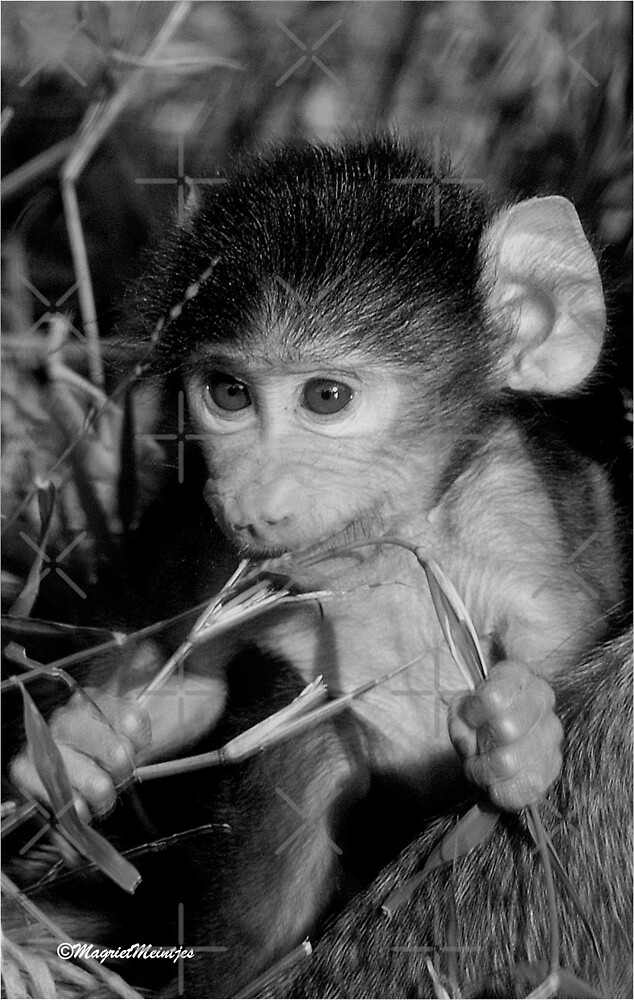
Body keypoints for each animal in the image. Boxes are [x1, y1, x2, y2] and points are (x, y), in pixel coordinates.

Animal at [8, 137, 625, 996]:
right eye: (229, 392)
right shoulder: (217, 548)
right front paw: (83, 745)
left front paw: (521, 733)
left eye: (326, 397)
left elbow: (563, 644)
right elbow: (190, 678)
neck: (382, 541)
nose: (250, 500)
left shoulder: (514, 509)